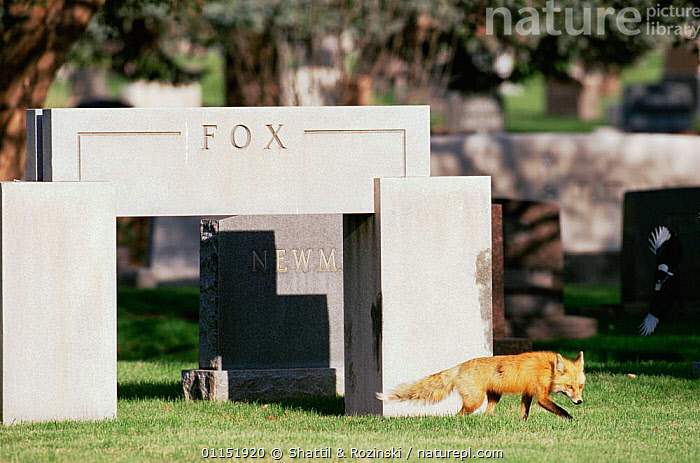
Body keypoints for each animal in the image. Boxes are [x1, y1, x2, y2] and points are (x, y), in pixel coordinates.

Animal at [377, 351, 585, 420]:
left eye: (580, 386)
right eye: (570, 387)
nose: (580, 402)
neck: (548, 370)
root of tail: (459, 366)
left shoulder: (528, 392)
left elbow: (524, 412)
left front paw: (522, 424)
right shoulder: (541, 396)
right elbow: (562, 410)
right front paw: (573, 420)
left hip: (494, 397)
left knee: (487, 414)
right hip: (474, 402)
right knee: (460, 414)